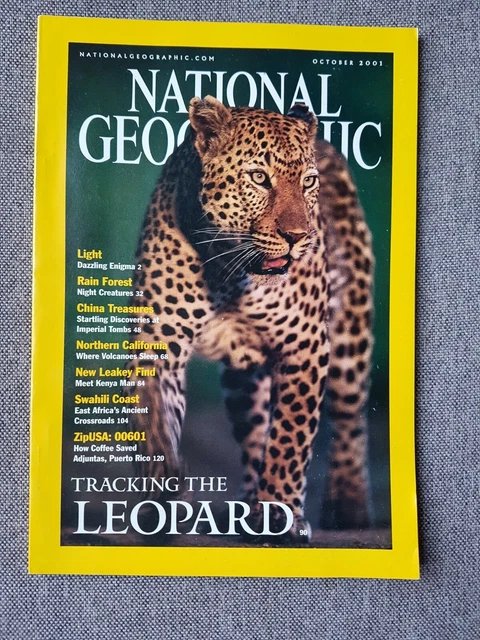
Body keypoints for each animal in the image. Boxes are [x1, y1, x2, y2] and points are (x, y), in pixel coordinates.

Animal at [125, 96, 374, 542]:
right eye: (259, 177)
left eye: (308, 182)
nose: (297, 237)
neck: (228, 268)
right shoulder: (158, 341)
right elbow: (153, 420)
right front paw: (164, 495)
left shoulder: (306, 344)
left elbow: (291, 436)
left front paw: (280, 515)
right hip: (244, 379)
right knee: (256, 433)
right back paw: (245, 507)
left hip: (350, 334)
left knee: (350, 418)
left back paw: (348, 504)